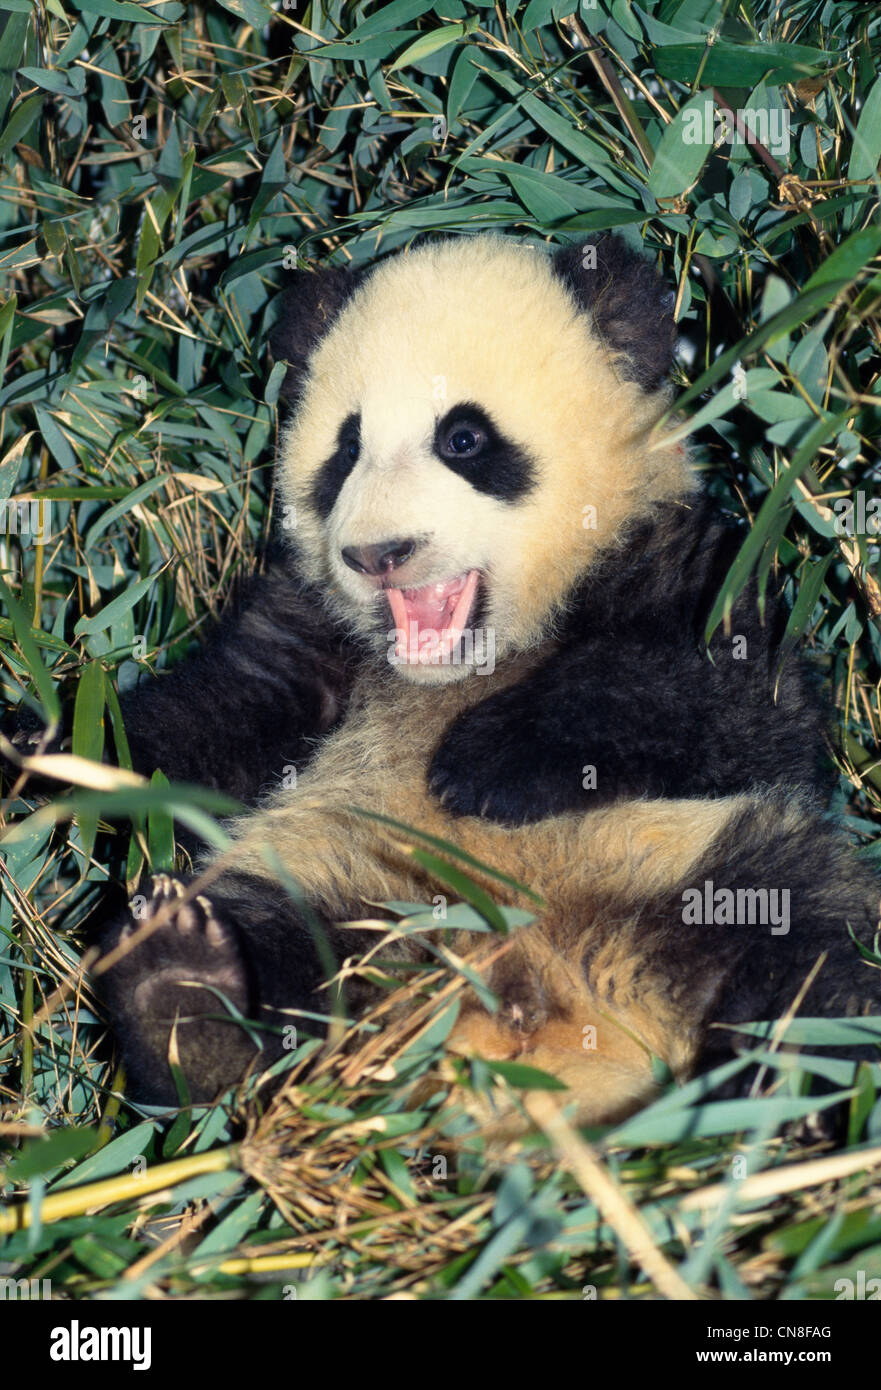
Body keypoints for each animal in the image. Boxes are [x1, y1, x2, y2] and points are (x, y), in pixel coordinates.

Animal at [99, 233, 881, 1125]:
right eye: (345, 448)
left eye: (464, 440)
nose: (378, 553)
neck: (470, 664)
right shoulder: (314, 633)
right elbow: (214, 719)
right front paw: (45, 749)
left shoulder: (680, 556)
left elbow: (730, 702)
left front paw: (482, 764)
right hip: (347, 890)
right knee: (277, 955)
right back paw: (182, 989)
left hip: (686, 863)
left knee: (808, 954)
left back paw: (772, 1096)